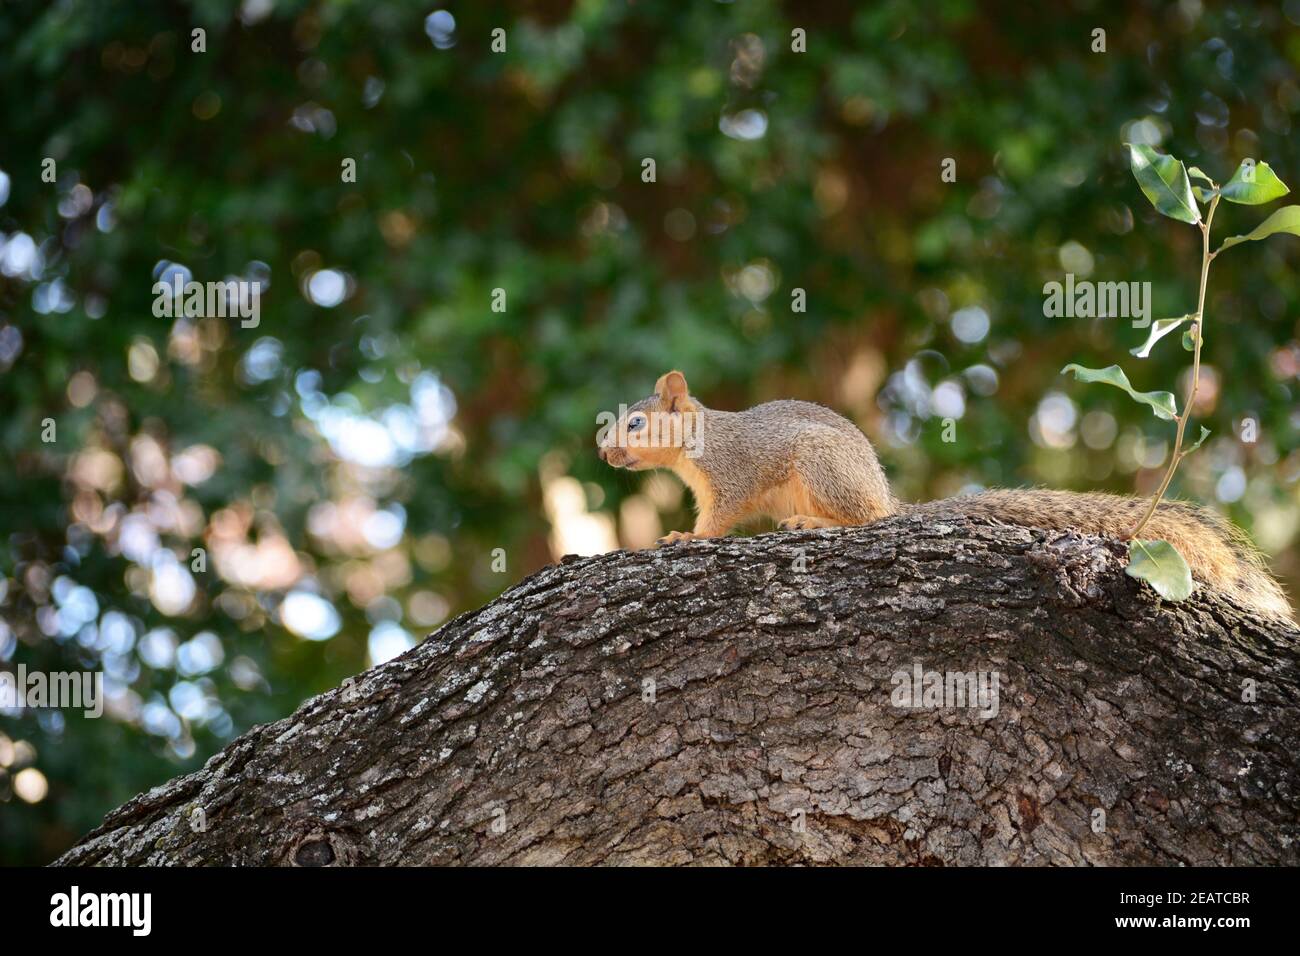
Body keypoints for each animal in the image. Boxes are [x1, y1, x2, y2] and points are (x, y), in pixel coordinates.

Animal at [597, 370, 1293, 621]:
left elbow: (719, 517)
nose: (605, 452)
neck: (700, 440)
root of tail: (887, 496)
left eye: (637, 423)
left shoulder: (734, 473)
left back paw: (815, 526)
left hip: (822, 468)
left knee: (864, 522)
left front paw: (687, 536)